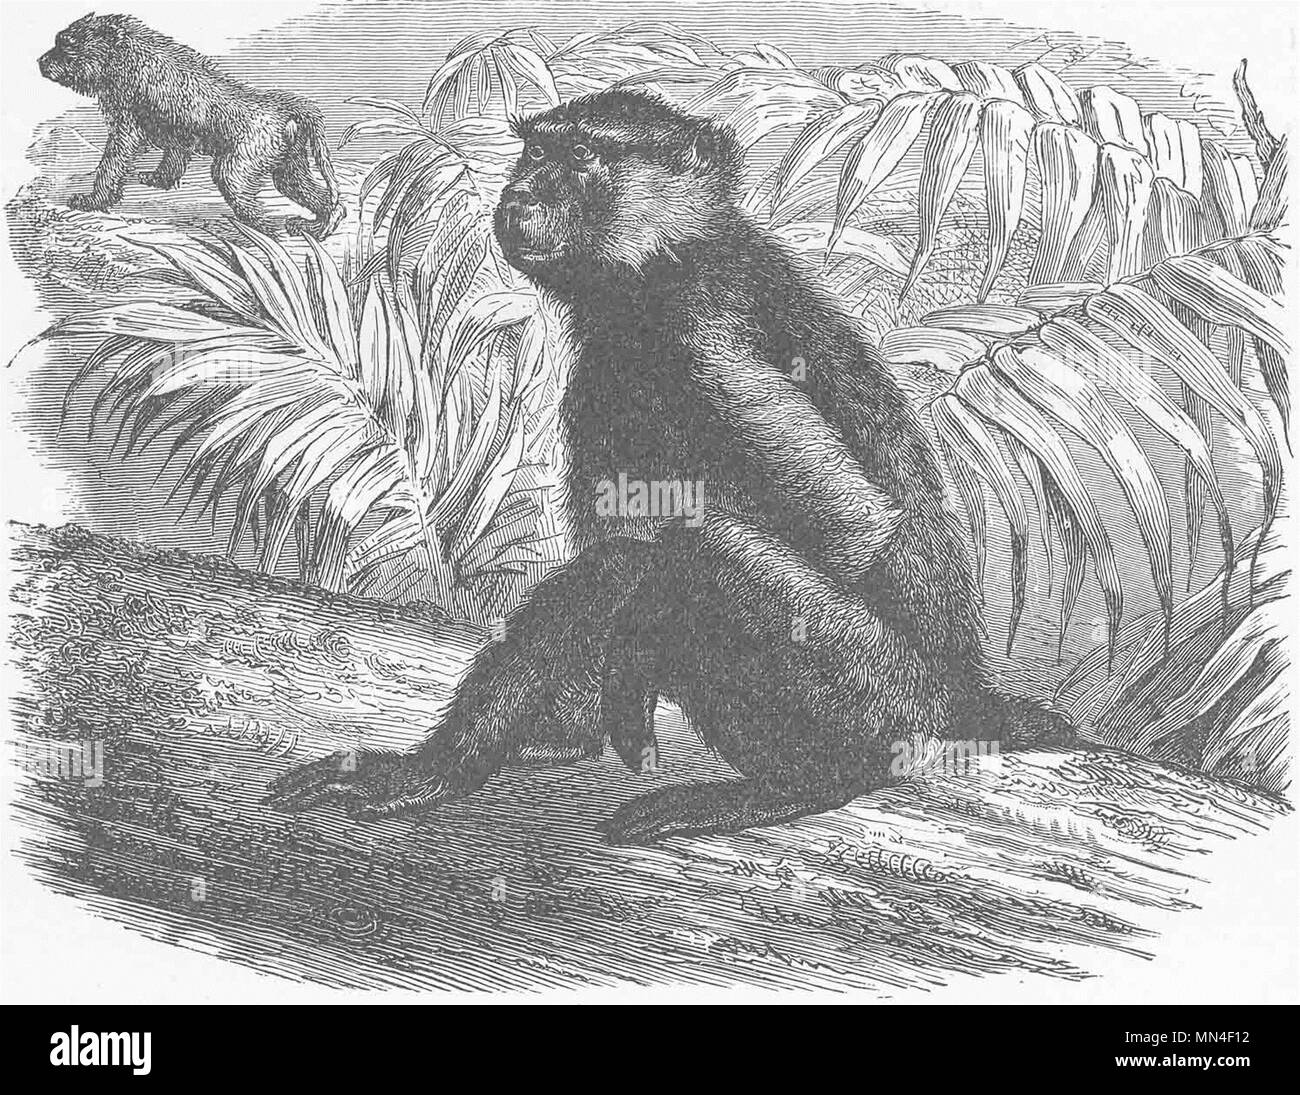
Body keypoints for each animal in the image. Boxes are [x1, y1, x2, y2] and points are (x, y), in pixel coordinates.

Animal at [38, 13, 342, 238]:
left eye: (68, 45)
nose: (41, 62)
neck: (129, 56)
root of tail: (285, 108)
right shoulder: (175, 134)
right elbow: (172, 158)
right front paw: (159, 180)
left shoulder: (126, 122)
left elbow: (112, 163)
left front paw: (93, 200)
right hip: (288, 166)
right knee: (317, 196)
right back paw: (316, 226)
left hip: (239, 165)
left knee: (249, 202)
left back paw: (261, 237)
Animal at [265, 89, 1082, 845]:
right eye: (536, 153)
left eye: (581, 159)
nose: (520, 192)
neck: (662, 264)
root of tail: (966, 693)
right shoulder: (603, 369)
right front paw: (552, 735)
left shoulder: (700, 331)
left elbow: (857, 530)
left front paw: (442, 766)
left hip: (891, 693)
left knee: (685, 557)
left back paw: (809, 778)